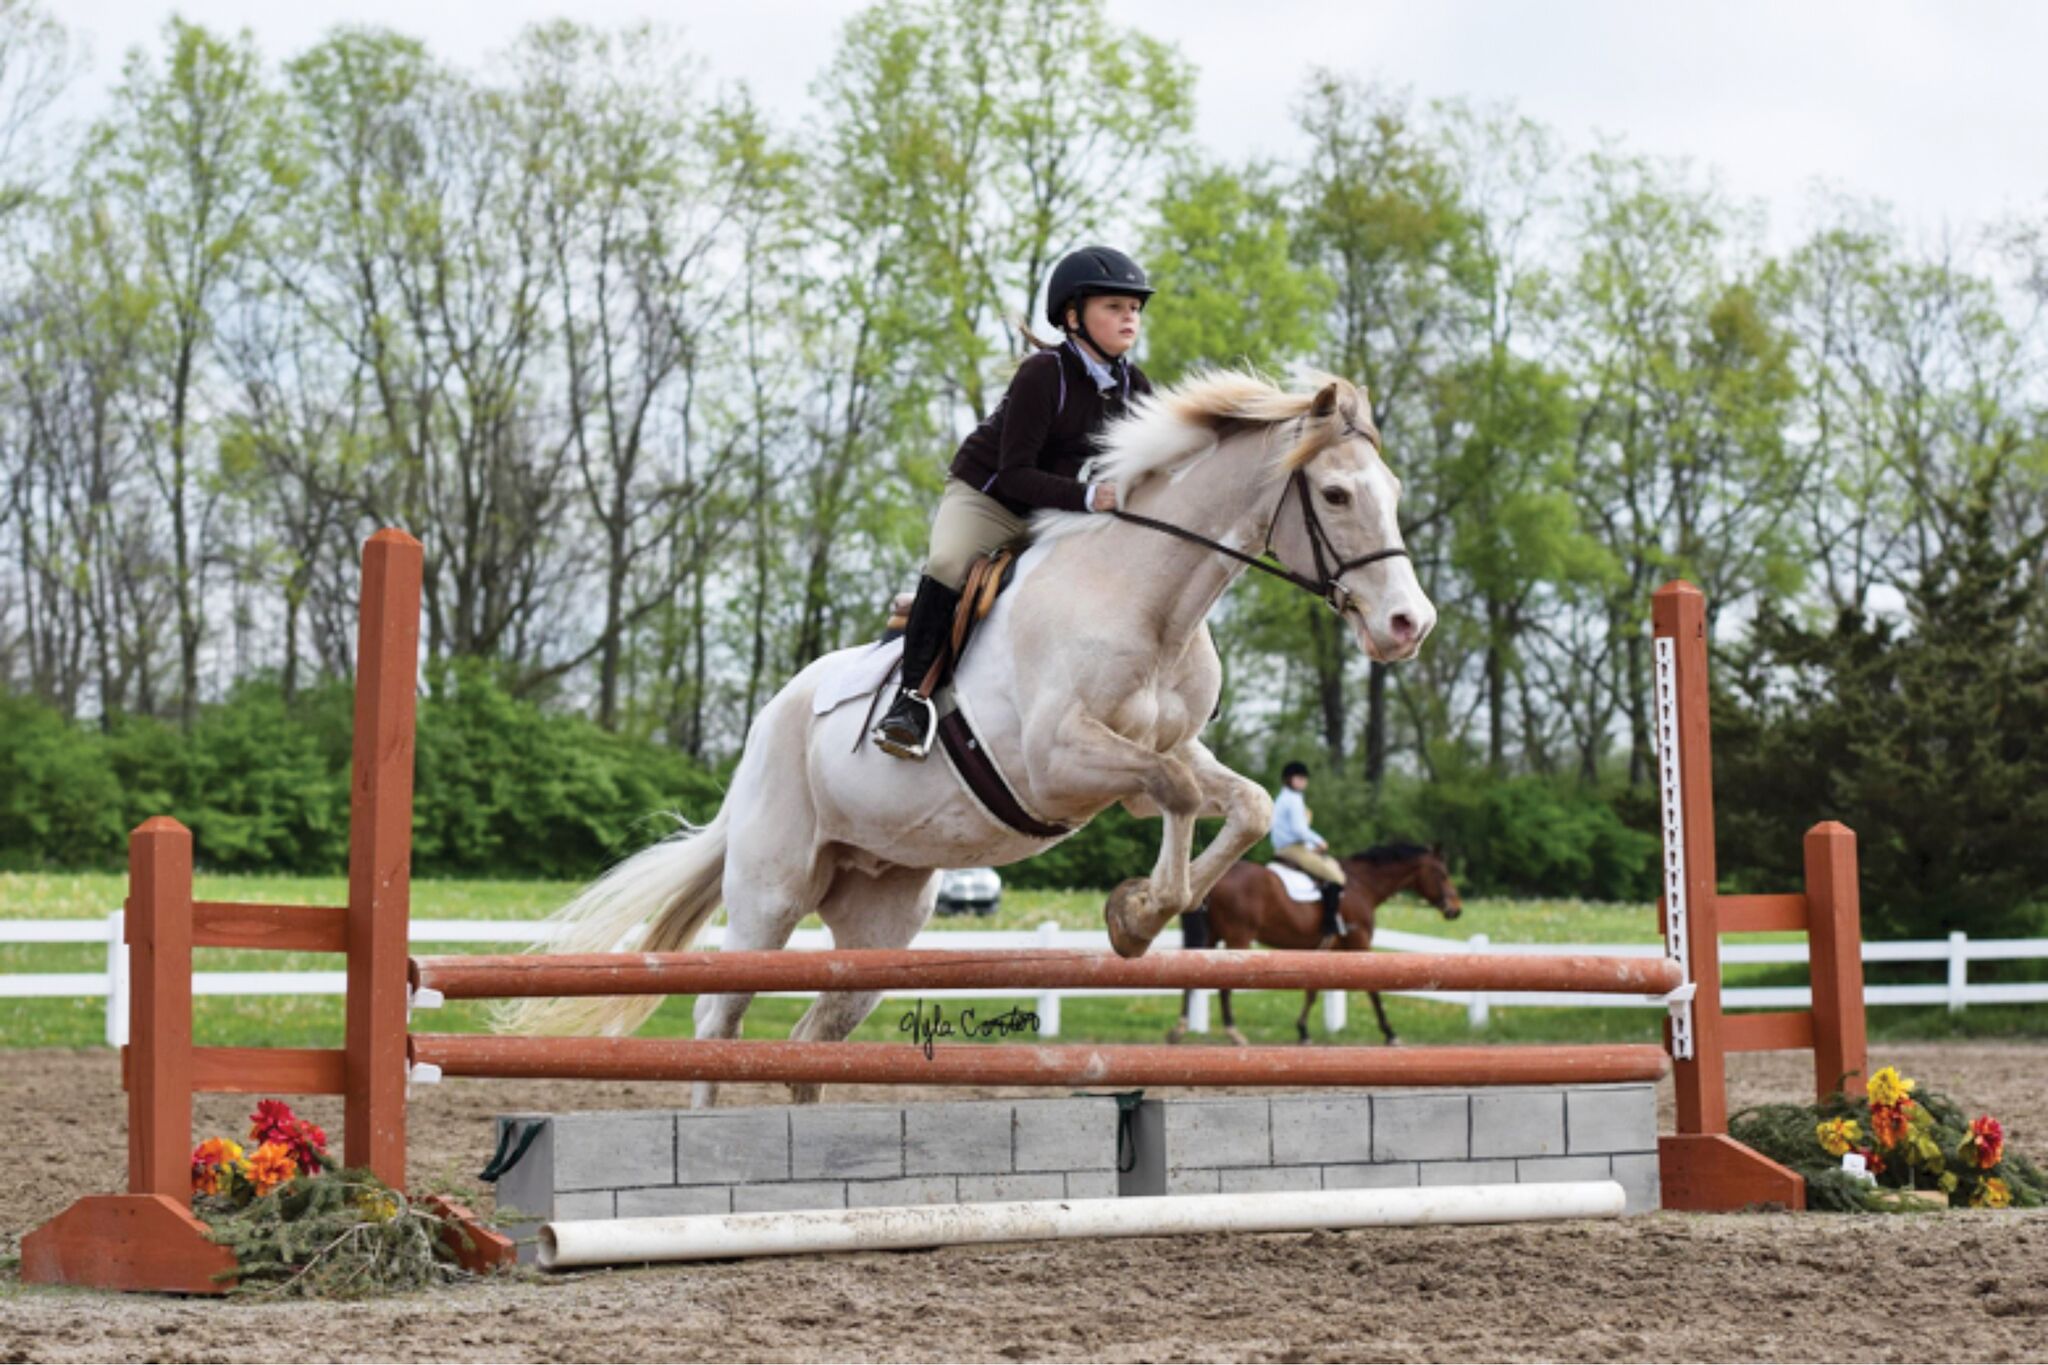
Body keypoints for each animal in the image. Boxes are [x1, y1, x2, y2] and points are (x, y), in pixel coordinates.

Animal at [1168, 844, 1462, 1047]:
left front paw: (1303, 1031)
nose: (1455, 910)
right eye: (1442, 874)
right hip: (1237, 937)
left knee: (1190, 978)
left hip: (1210, 936)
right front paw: (1390, 1033)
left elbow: (1312, 990)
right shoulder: (1358, 943)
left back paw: (1179, 1029)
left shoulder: (1326, 950)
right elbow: (1373, 989)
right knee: (1224, 987)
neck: (1361, 886)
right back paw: (1234, 1033)